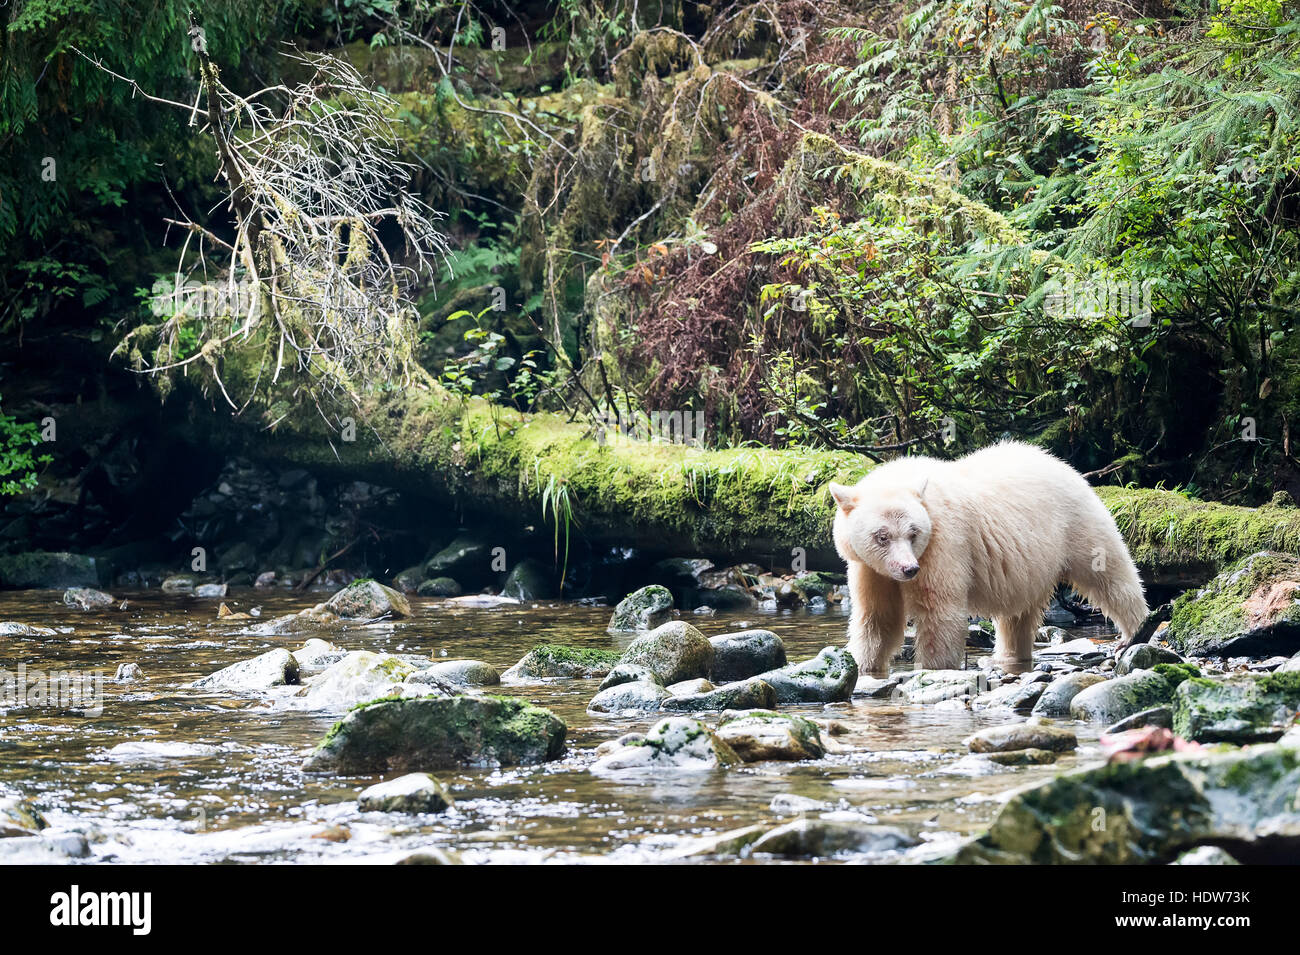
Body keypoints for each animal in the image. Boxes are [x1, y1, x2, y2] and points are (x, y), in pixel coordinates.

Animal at [829, 440, 1148, 675]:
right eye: (881, 536)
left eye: (913, 532)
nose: (909, 569)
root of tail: (1064, 464)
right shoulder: (870, 568)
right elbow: (877, 617)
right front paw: (863, 665)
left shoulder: (944, 543)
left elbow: (938, 611)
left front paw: (934, 668)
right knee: (1018, 616)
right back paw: (1010, 656)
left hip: (1076, 522)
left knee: (1109, 574)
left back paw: (1136, 631)